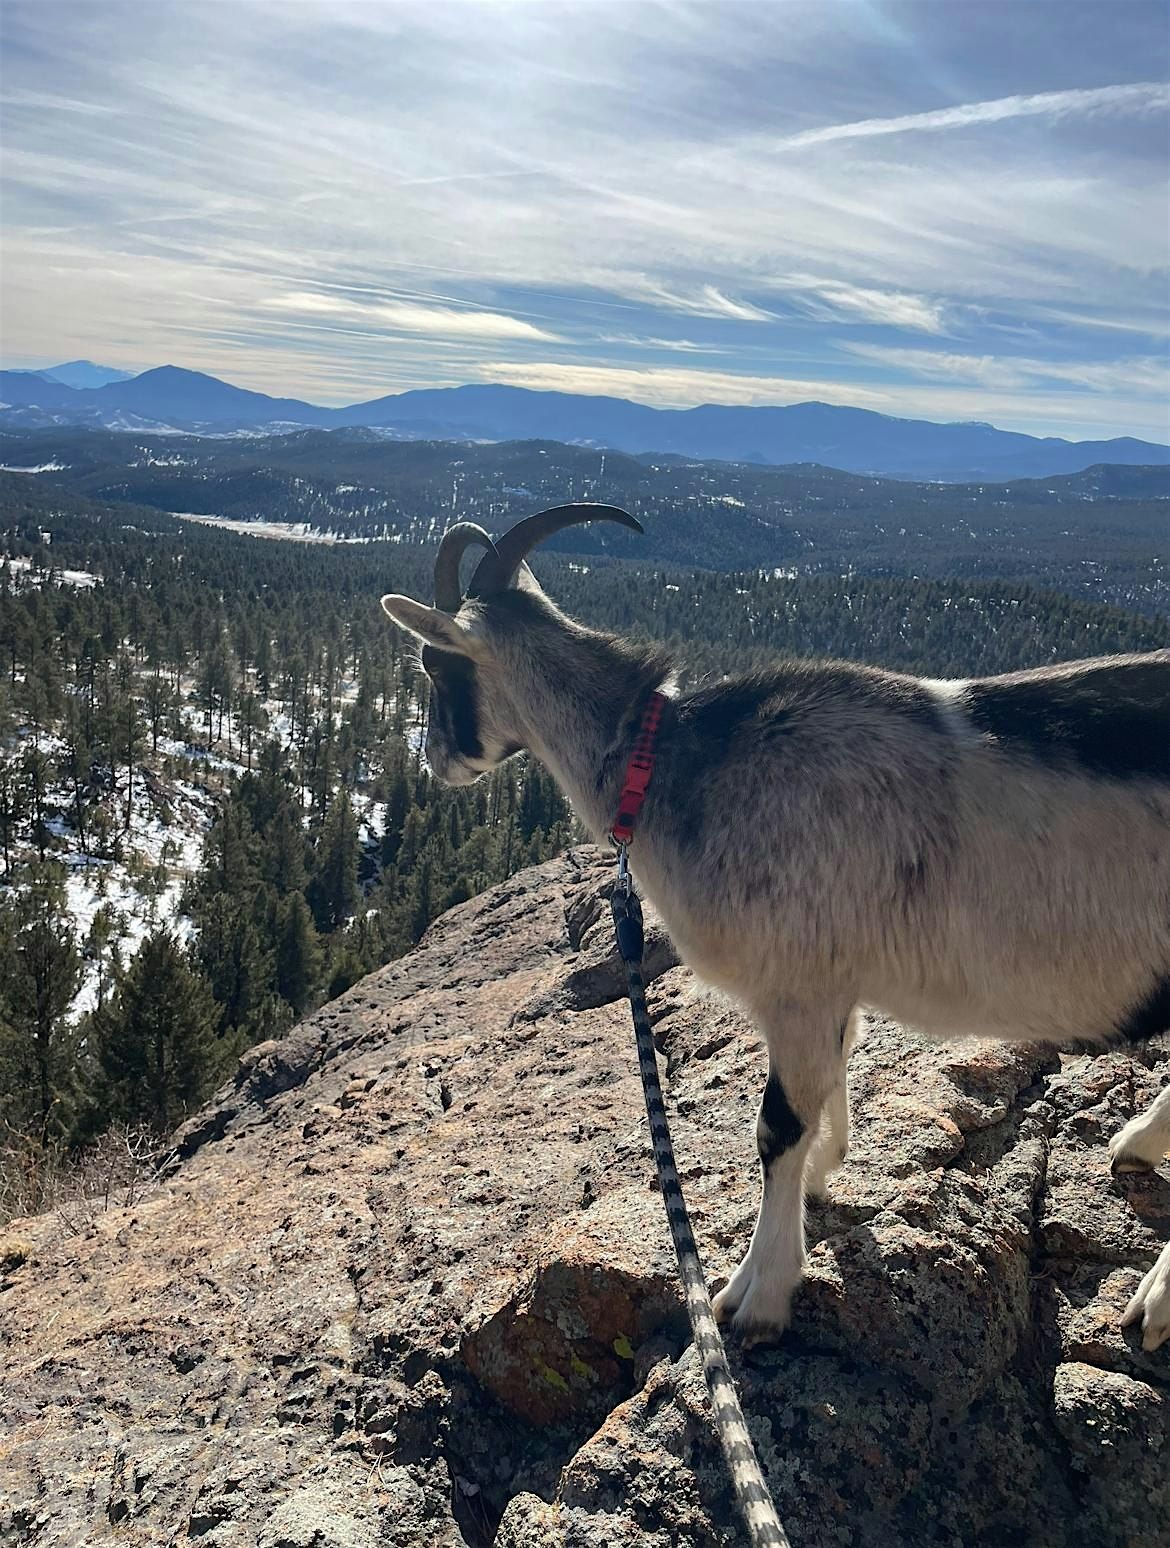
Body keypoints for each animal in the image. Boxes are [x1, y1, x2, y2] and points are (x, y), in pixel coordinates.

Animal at [381, 504, 1170, 1352]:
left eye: (436, 665)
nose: (436, 761)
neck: (674, 765)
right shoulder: (831, 989)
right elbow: (831, 1082)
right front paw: (827, 1171)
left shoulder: (796, 989)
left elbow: (776, 1130)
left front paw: (755, 1295)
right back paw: (1136, 1146)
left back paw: (1154, 1302)